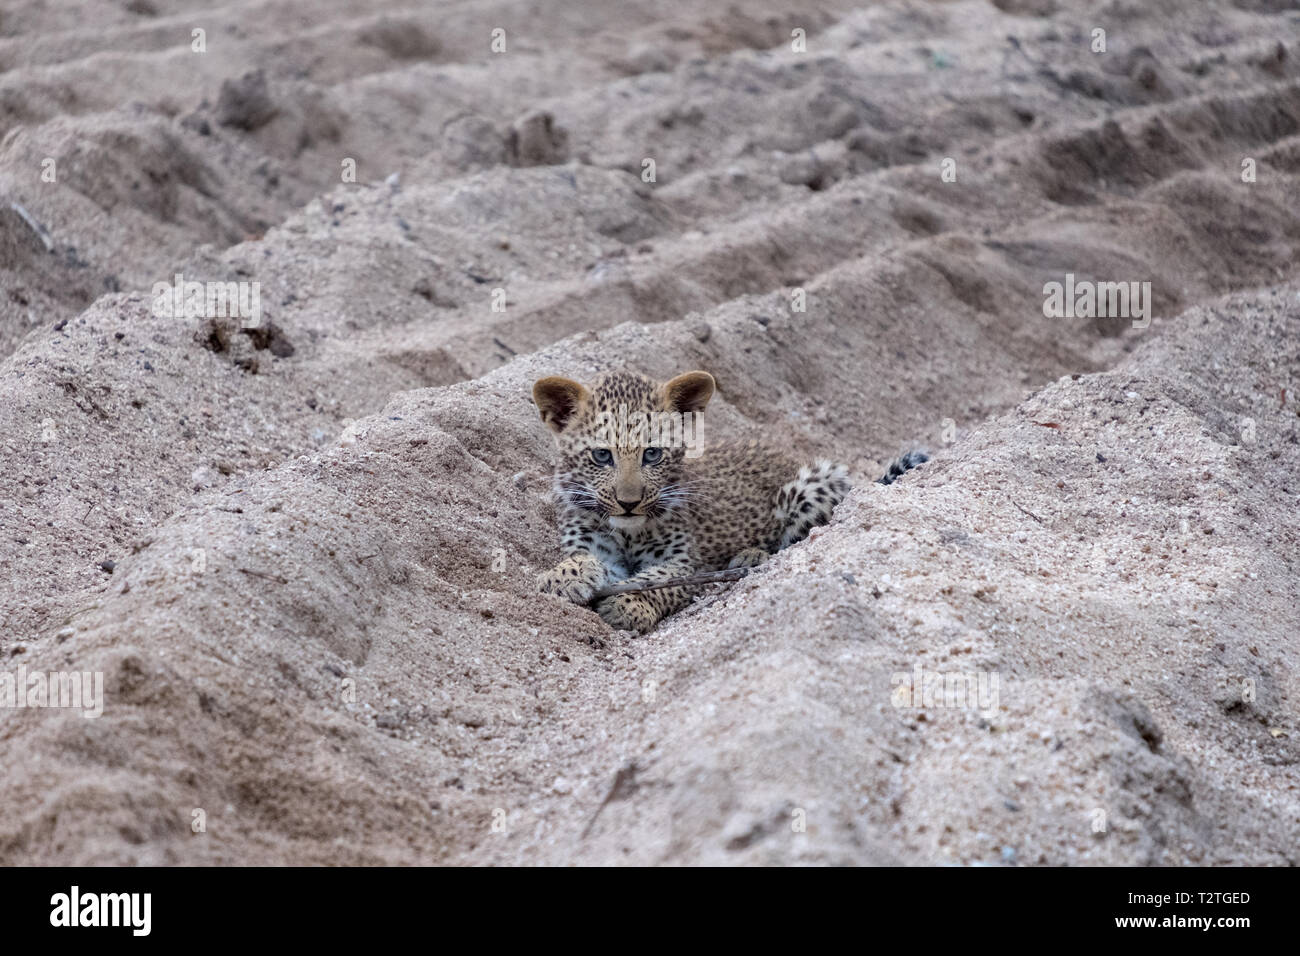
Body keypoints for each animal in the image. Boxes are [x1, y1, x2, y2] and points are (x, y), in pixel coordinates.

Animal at [531, 369, 926, 633]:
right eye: (601, 456)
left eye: (652, 454)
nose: (629, 503)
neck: (629, 532)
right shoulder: (597, 548)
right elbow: (582, 560)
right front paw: (561, 579)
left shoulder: (687, 563)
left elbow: (658, 581)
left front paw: (629, 604)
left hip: (816, 481)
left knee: (794, 539)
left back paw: (751, 555)